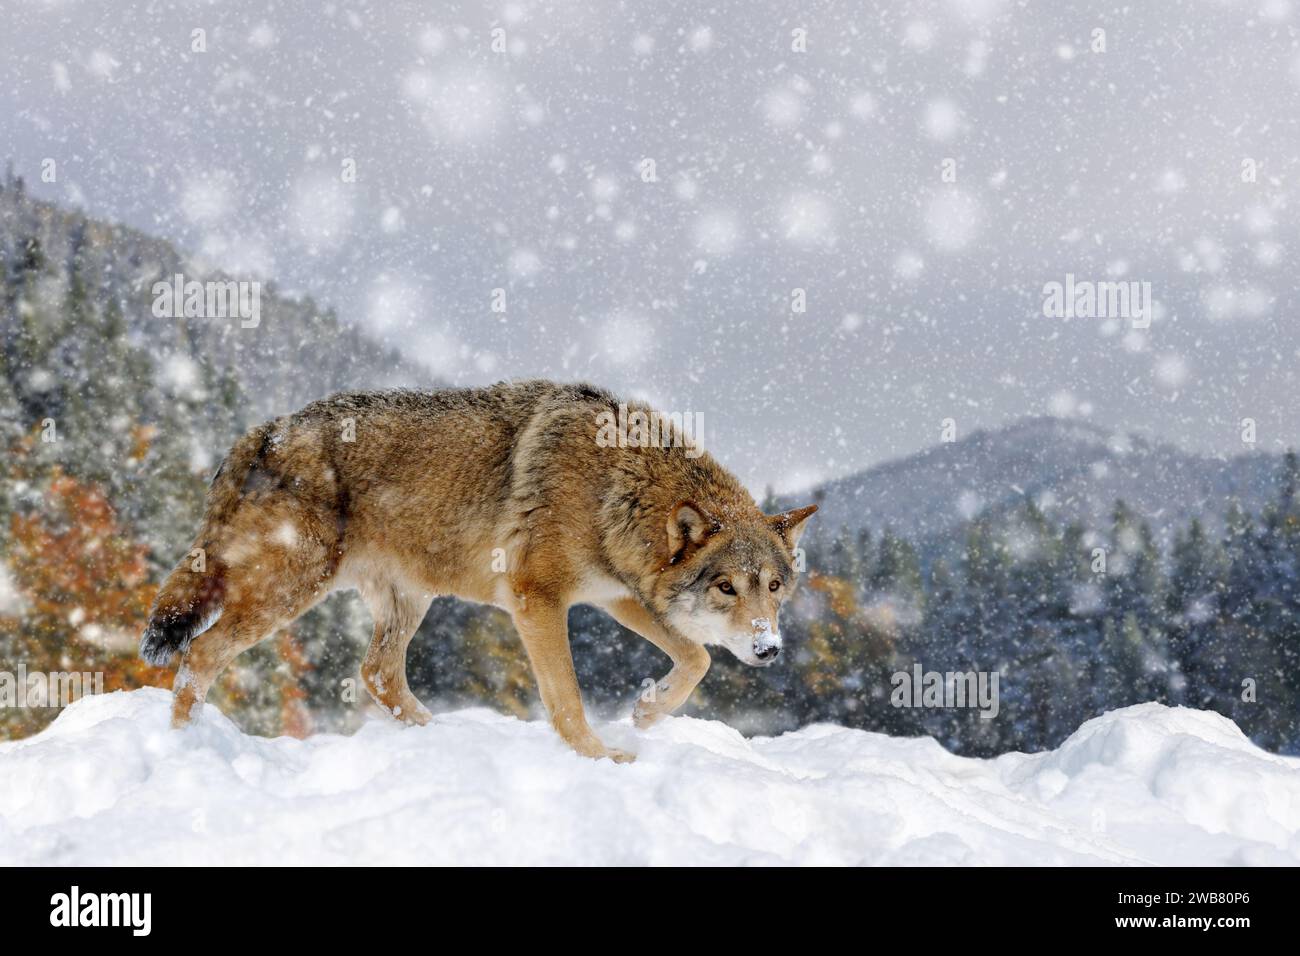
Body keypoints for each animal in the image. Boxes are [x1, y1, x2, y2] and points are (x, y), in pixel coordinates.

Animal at [141, 381, 816, 762]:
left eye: (773, 587)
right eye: (726, 587)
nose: (768, 649)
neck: (616, 489)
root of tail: (268, 429)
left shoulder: (616, 597)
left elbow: (696, 657)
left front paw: (646, 714)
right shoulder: (536, 598)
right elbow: (566, 699)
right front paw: (600, 757)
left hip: (406, 601)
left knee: (377, 674)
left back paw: (436, 737)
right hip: (291, 589)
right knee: (201, 653)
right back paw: (183, 752)